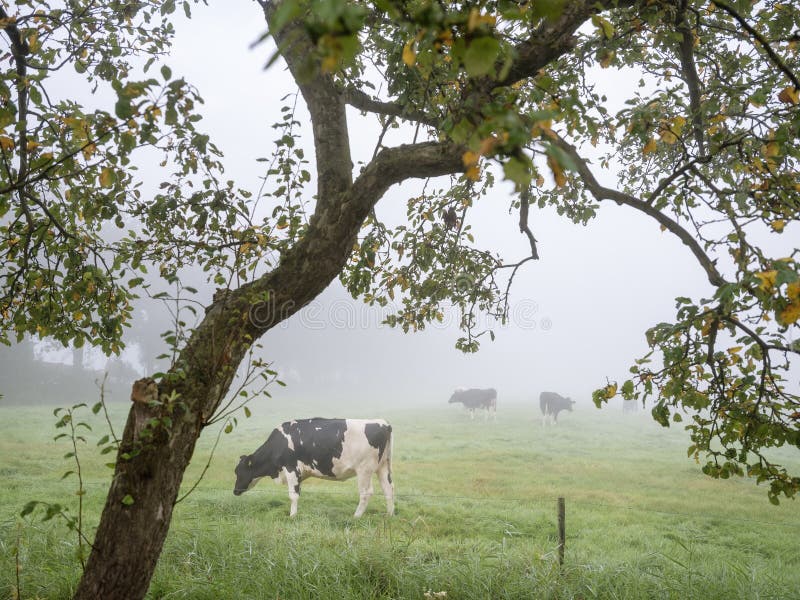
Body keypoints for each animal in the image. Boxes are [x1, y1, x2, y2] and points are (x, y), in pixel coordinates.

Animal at [234, 418, 394, 518]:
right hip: (383, 466)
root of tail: (383, 423)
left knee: (366, 492)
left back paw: (356, 516)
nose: (235, 491)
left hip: (364, 469)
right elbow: (298, 493)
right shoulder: (299, 473)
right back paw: (389, 515)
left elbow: (293, 495)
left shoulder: (291, 467)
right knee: (388, 489)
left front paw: (292, 516)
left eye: (239, 472)